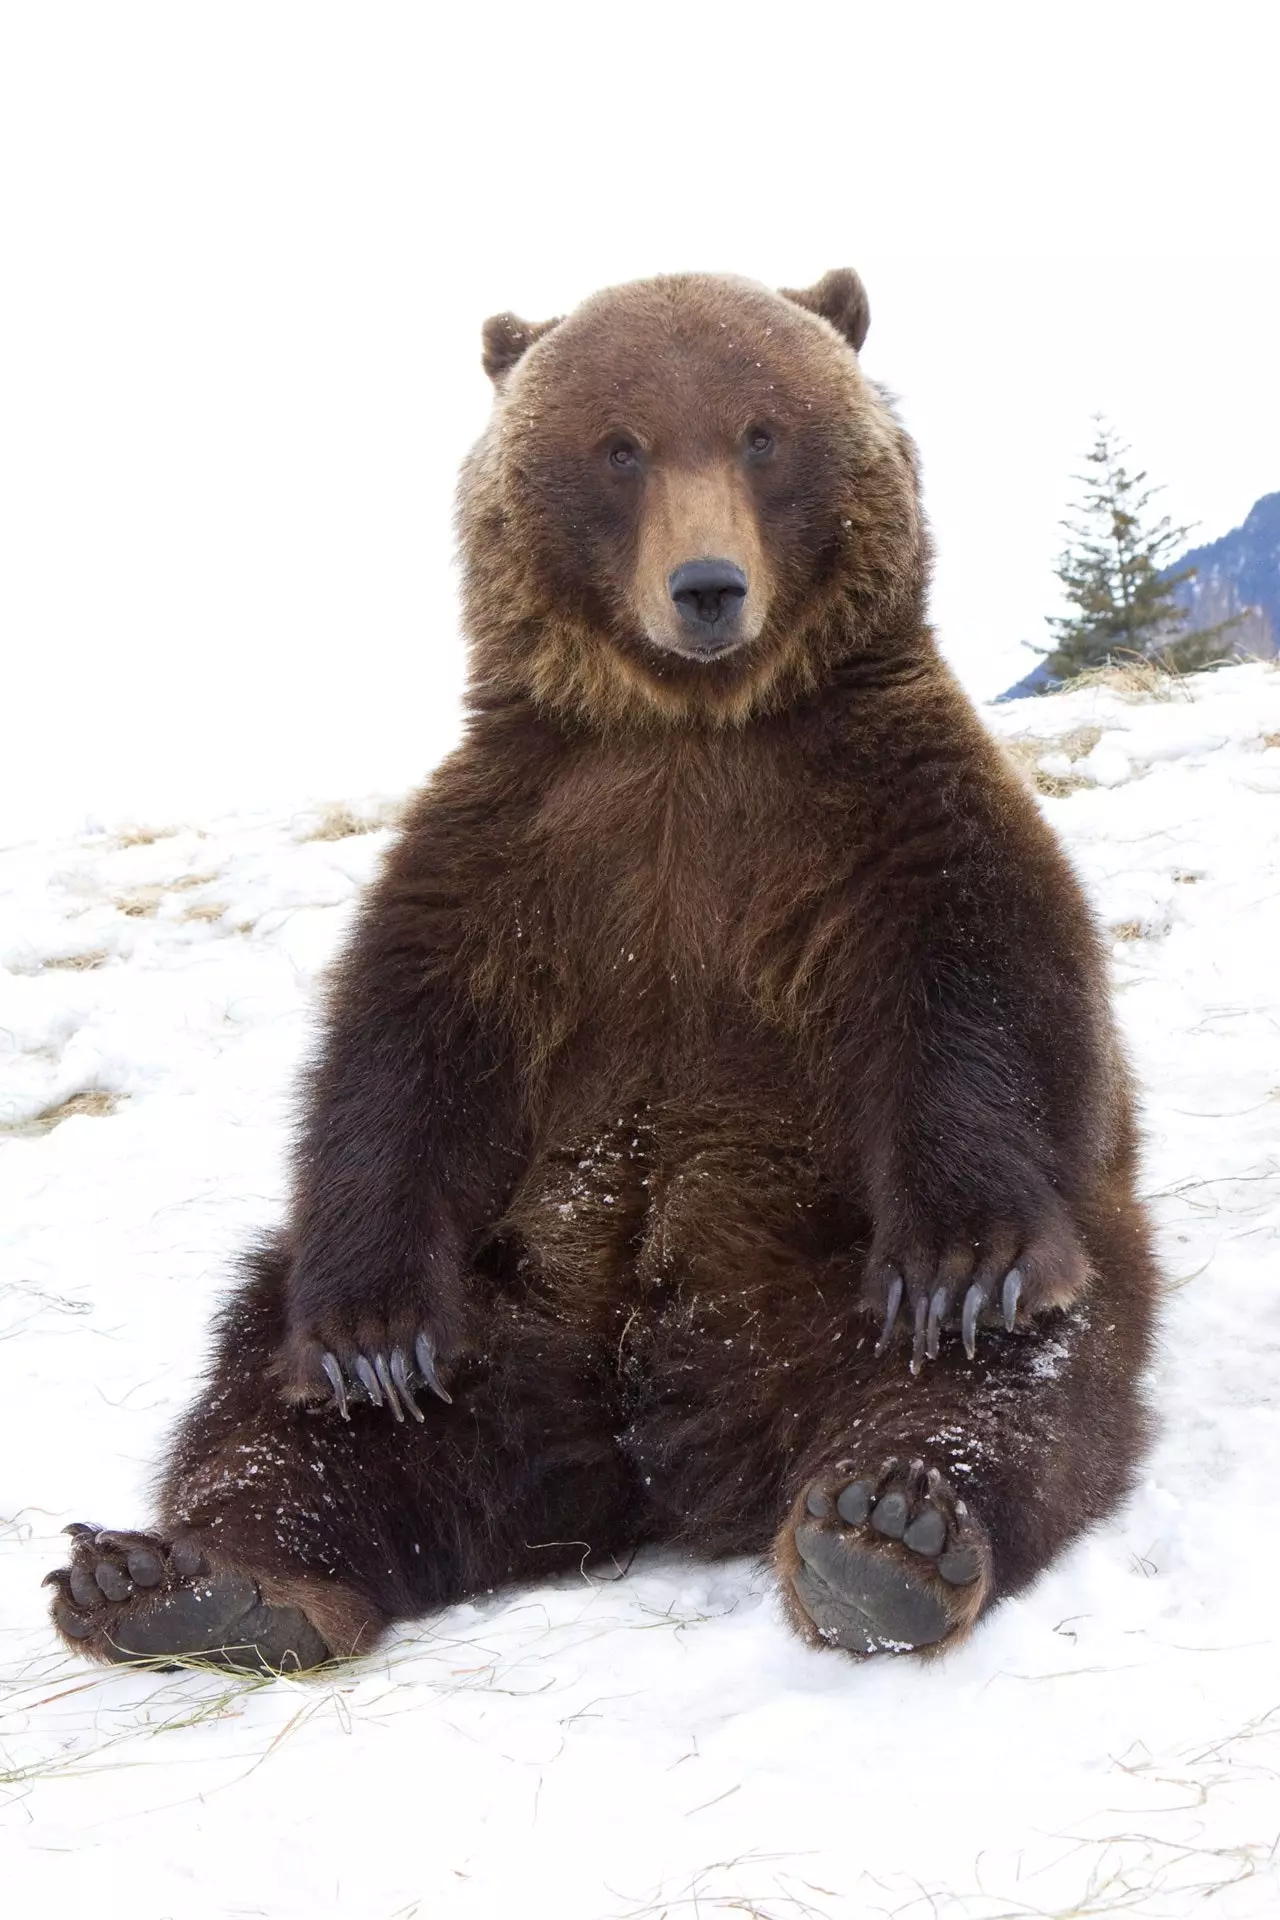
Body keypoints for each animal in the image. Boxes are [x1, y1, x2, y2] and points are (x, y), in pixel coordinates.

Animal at [45, 266, 1159, 1666]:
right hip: (503, 1309)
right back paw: (190, 1579)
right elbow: (395, 1066)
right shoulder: (516, 850)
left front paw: (962, 1274)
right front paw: (368, 1347)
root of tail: (642, 1465)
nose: (706, 585)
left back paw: (889, 1533)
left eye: (759, 432)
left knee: (1009, 1379)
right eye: (619, 447)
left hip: (829, 1276)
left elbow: (982, 990)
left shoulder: (878, 810)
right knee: (282, 1392)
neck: (685, 725)